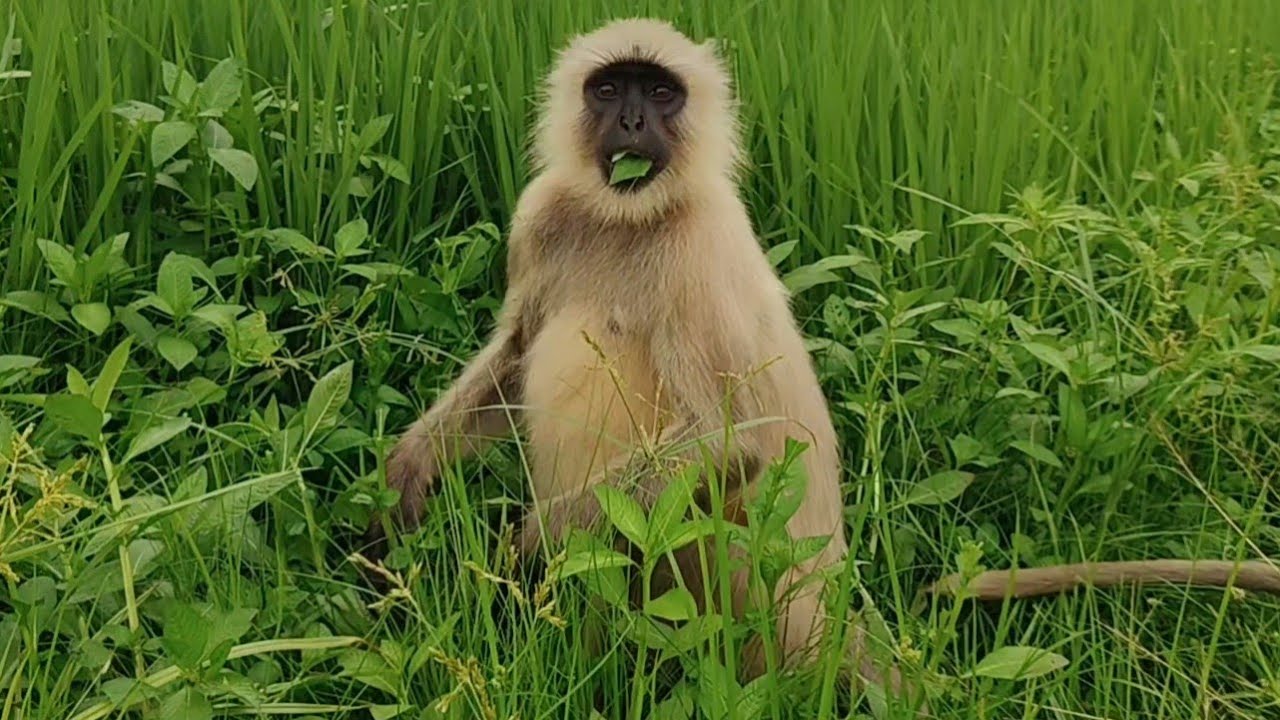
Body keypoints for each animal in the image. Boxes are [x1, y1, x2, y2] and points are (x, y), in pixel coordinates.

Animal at [359, 16, 1280, 711]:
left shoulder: (692, 254)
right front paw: (405, 479)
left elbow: (737, 445)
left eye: (661, 92)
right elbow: (516, 357)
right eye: (610, 89)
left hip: (742, 589)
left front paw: (516, 550)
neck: (628, 221)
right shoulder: (545, 215)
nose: (632, 125)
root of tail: (829, 612)